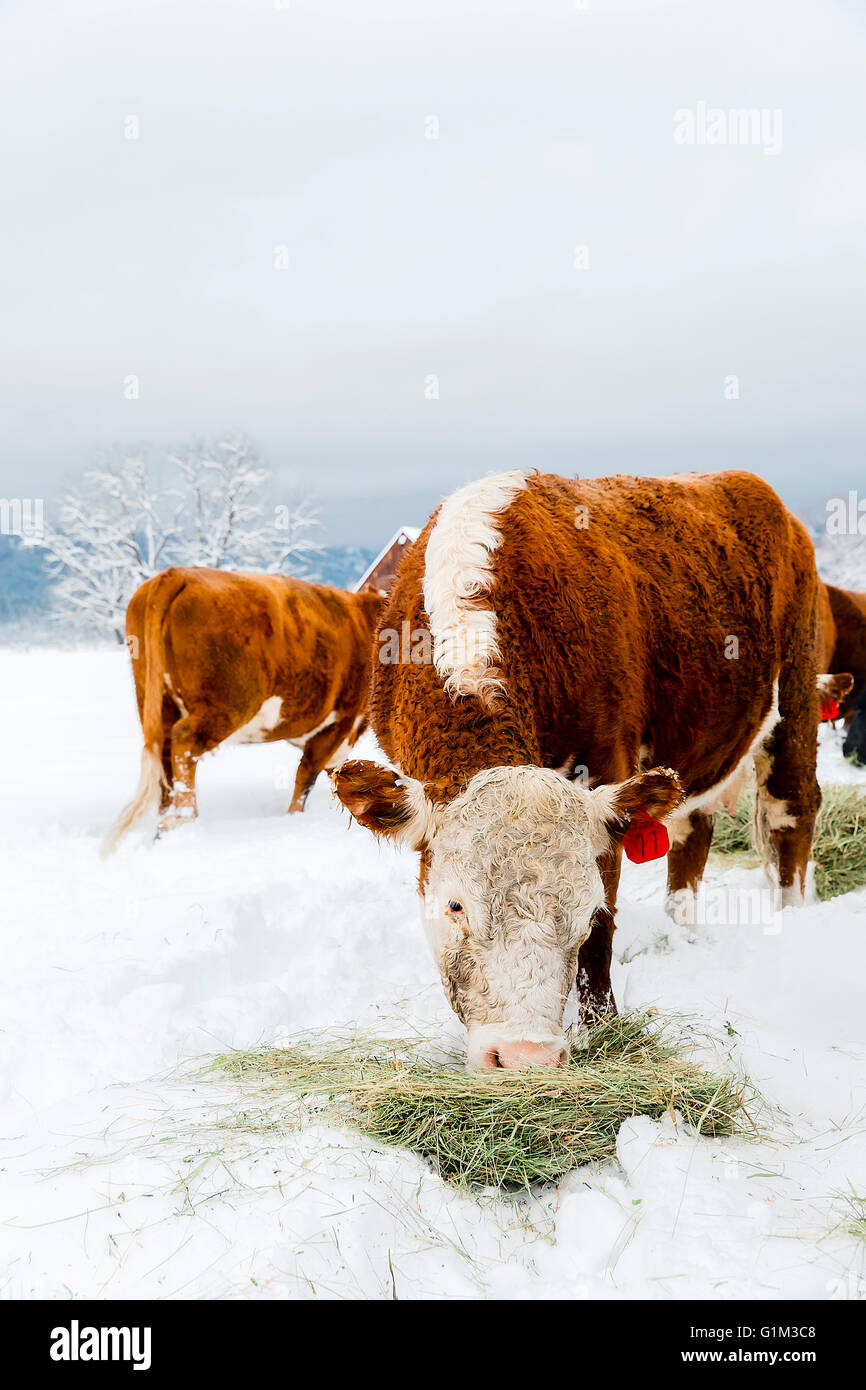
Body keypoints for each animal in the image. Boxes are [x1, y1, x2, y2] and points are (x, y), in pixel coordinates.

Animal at [105, 567, 385, 852]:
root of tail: (178, 573)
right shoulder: (341, 721)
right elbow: (307, 775)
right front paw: (293, 816)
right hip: (228, 705)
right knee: (184, 741)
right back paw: (180, 819)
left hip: (157, 701)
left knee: (163, 751)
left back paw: (165, 814)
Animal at [332, 470, 826, 1070]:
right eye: (455, 904)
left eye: (586, 910)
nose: (525, 1056)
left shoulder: (607, 767)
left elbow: (603, 939)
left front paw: (602, 1028)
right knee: (692, 835)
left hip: (796, 694)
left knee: (790, 815)